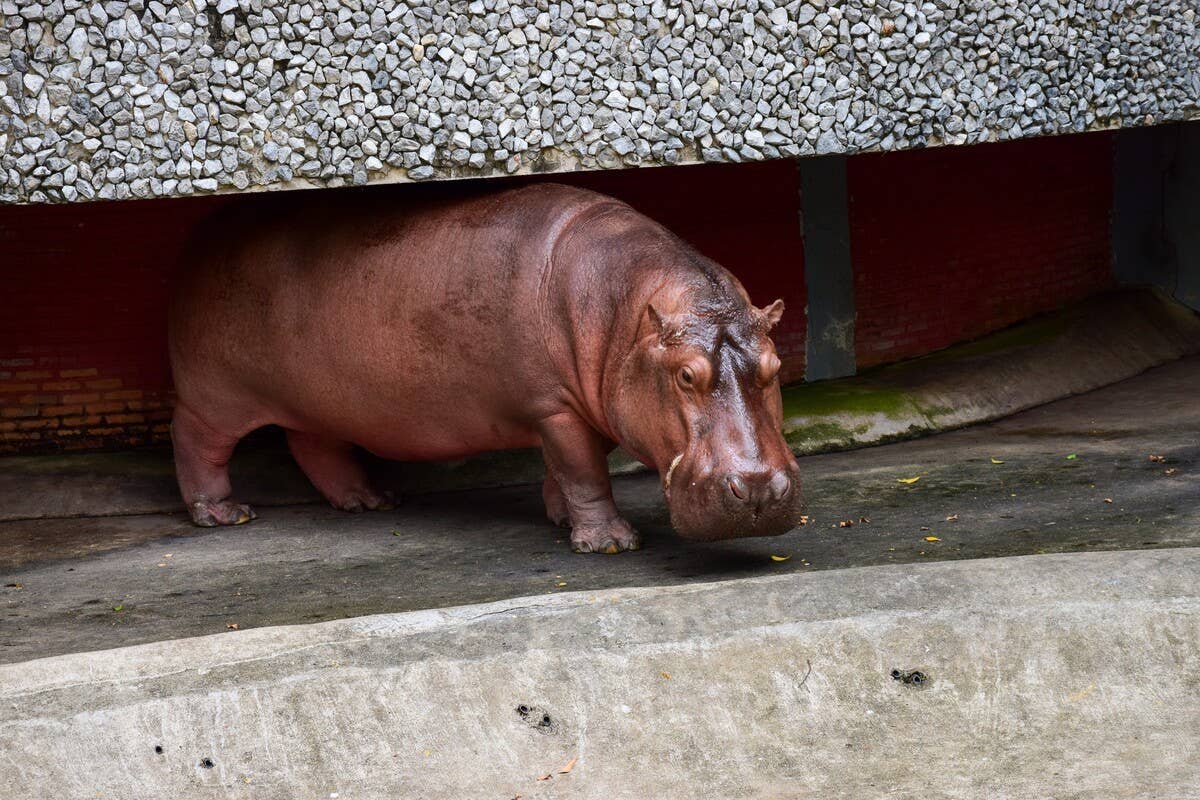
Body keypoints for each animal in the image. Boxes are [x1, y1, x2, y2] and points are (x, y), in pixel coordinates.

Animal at [169, 183, 804, 553]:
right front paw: (609, 543)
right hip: (215, 395)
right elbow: (583, 471)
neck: (629, 312)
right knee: (196, 442)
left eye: (775, 365)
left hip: (323, 400)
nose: (757, 489)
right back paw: (224, 515)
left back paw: (371, 501)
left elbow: (569, 467)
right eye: (686, 376)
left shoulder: (582, 404)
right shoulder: (555, 405)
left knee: (316, 446)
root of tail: (204, 232)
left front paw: (559, 518)